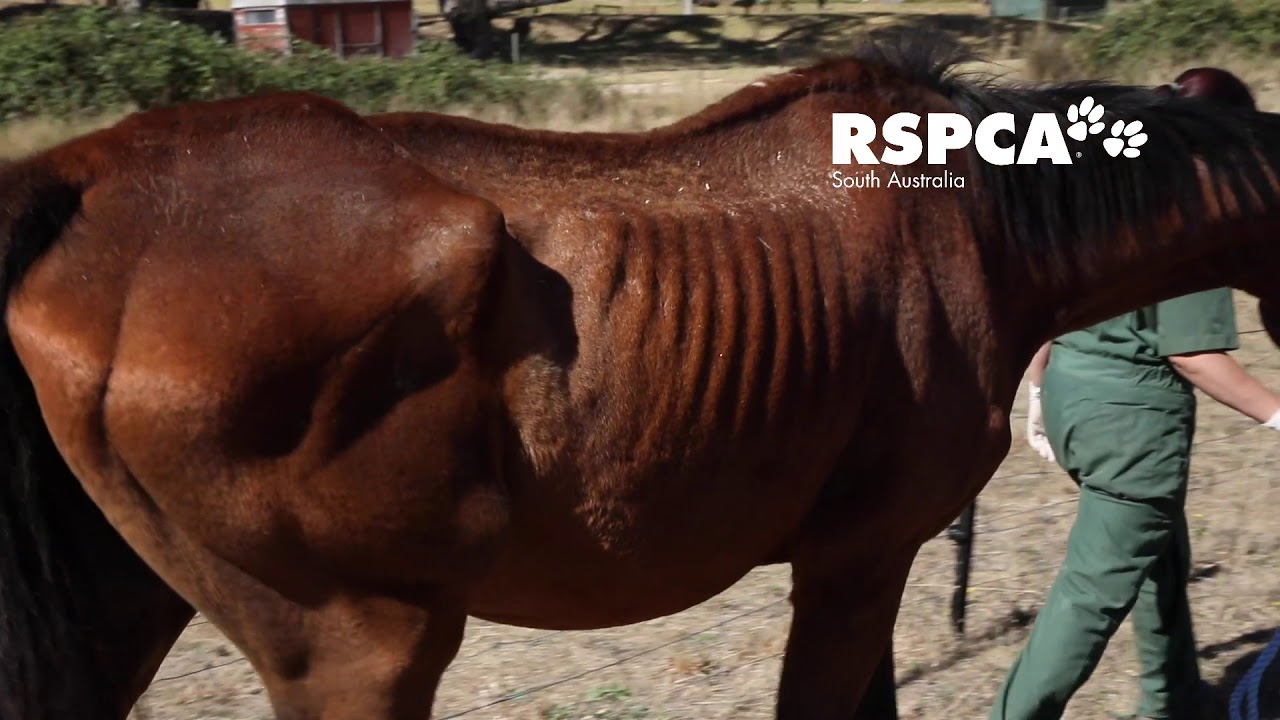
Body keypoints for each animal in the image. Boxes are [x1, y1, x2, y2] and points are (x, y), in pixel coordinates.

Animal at [3, 31, 1280, 720]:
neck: (982, 223)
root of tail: (81, 181)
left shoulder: (861, 564)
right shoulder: (856, 560)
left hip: (135, 612)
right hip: (363, 648)